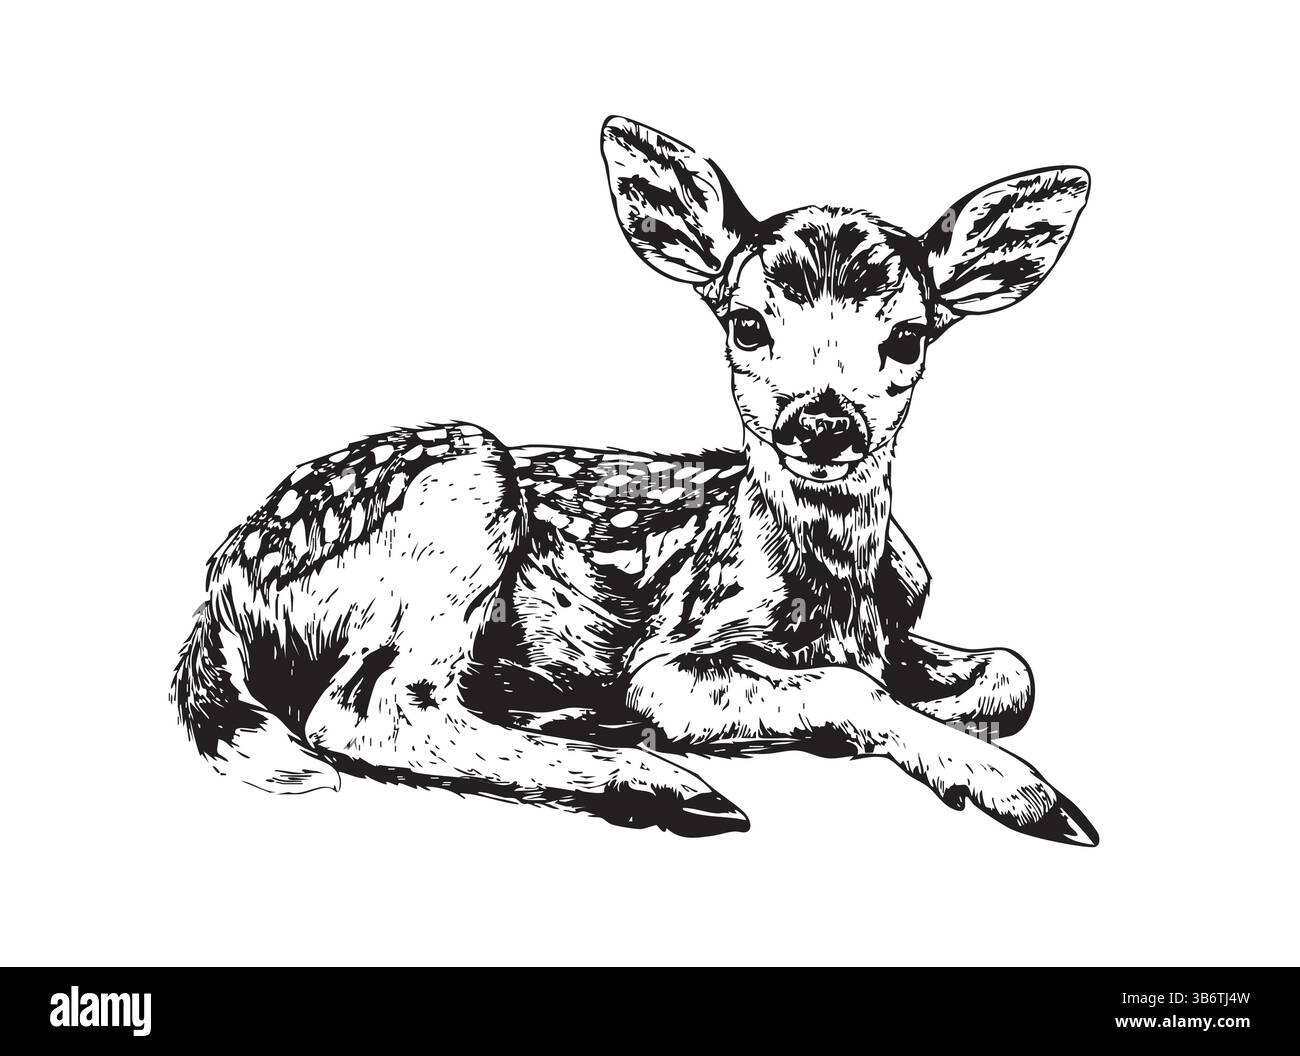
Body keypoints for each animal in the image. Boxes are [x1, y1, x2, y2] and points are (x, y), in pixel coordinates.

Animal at [171, 116, 1096, 844]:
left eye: (908, 337)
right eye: (747, 324)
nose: (823, 424)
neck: (836, 596)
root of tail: (223, 581)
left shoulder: (902, 628)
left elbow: (1009, 670)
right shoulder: (674, 650)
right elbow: (841, 687)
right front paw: (1015, 789)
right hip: (461, 500)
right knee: (371, 709)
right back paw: (662, 784)